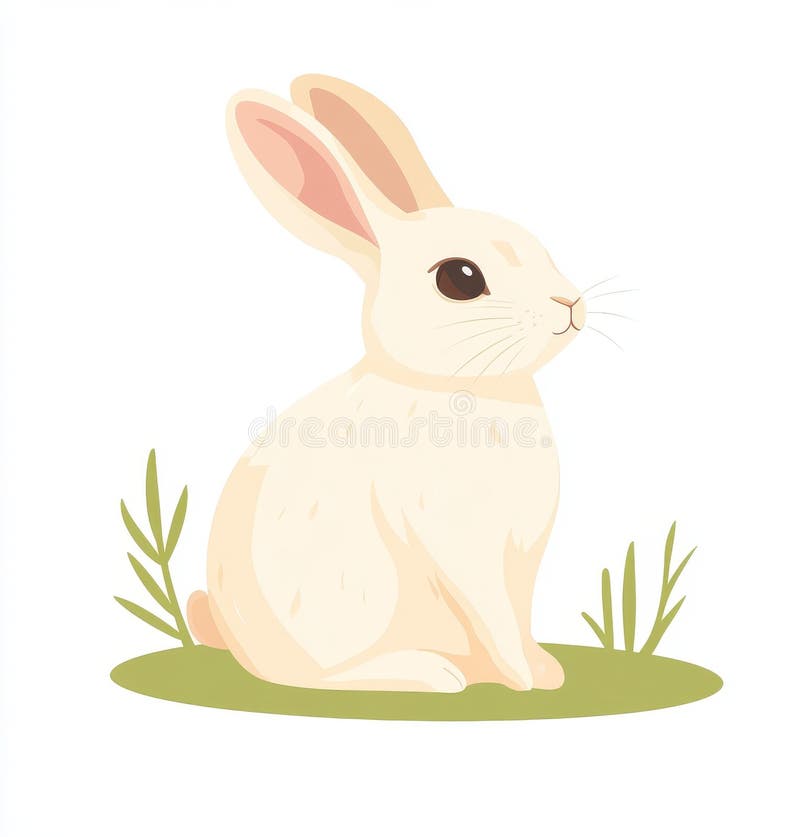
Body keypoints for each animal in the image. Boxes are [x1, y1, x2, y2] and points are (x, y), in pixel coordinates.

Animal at [187, 74, 585, 692]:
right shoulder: (460, 547)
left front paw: (545, 671)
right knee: (324, 678)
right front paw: (523, 681)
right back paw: (430, 673)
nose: (570, 304)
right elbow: (495, 617)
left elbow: (518, 619)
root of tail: (246, 647)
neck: (452, 387)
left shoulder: (520, 559)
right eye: (459, 278)